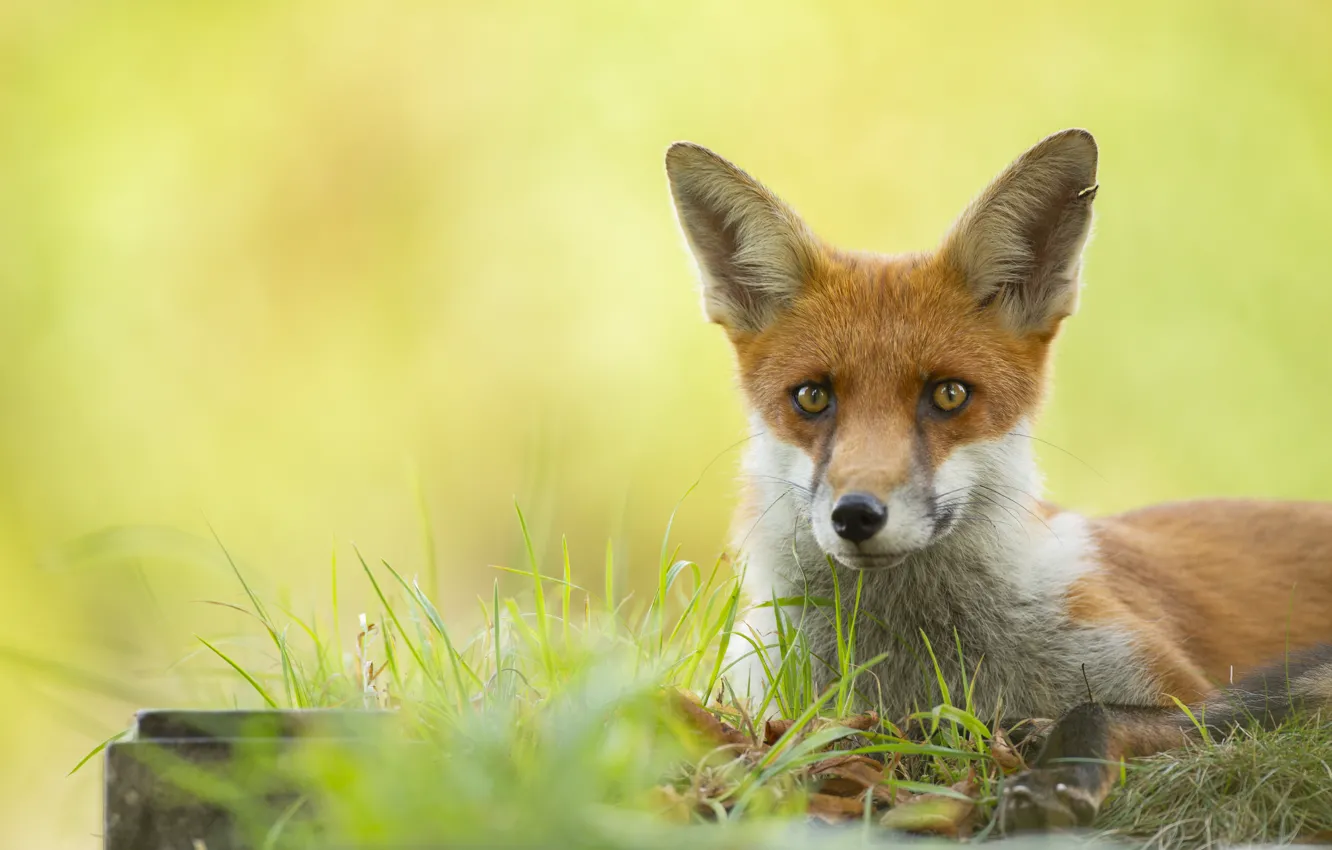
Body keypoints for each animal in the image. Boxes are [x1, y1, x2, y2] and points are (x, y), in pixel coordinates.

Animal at [663, 129, 1332, 830]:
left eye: (949, 394)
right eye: (813, 397)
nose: (856, 515)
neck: (923, 669)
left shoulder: (1179, 685)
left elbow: (1098, 710)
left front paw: (1054, 776)